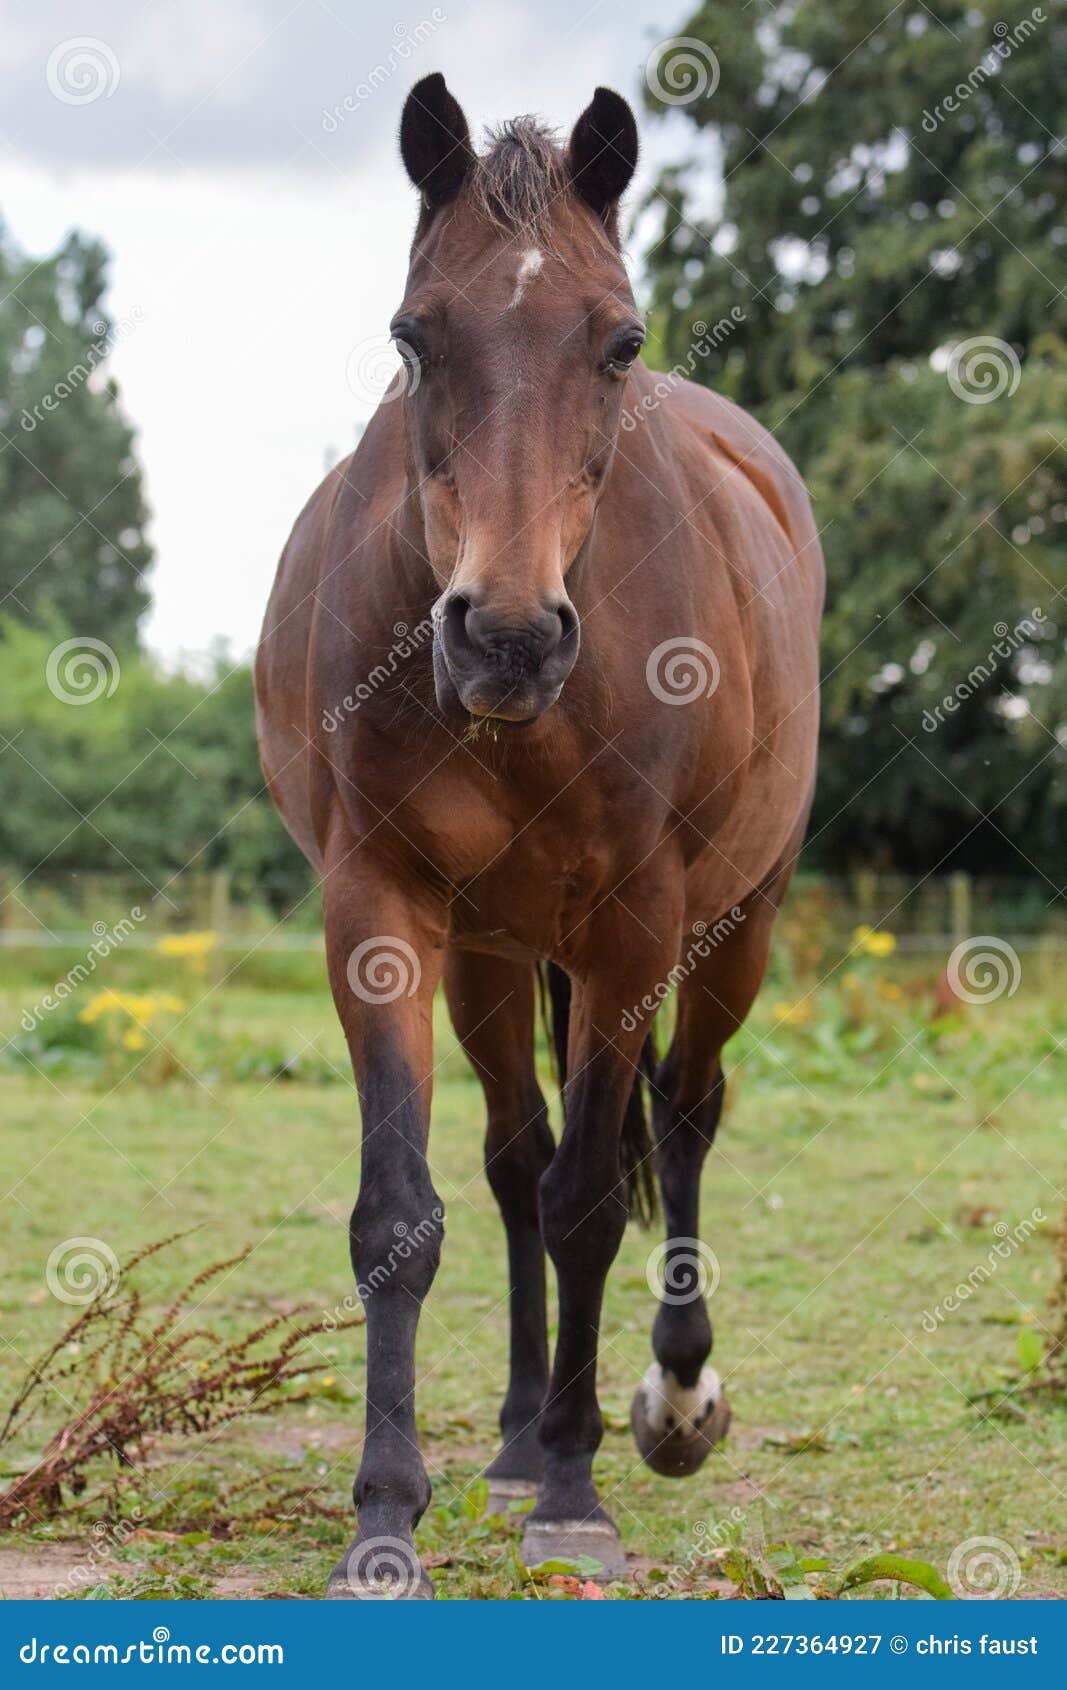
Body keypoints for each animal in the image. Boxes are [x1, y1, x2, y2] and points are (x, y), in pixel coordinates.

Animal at [255, 73, 823, 1596]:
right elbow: (405, 1212)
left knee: (677, 1120)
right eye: (412, 335)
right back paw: (514, 1437)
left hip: (731, 925)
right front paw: (390, 1509)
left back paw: (666, 1399)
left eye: (615, 340)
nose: (505, 636)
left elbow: (588, 1203)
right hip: (496, 953)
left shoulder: (634, 921)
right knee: (518, 1155)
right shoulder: (380, 909)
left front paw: (579, 1488)